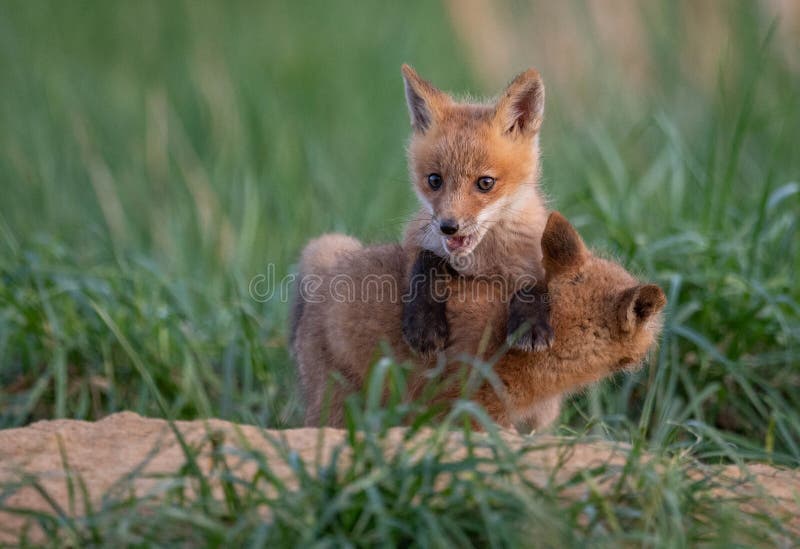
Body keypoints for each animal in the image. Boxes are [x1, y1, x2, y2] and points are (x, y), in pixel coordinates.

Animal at [399, 64, 554, 358]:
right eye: (434, 180)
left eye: (485, 183)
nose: (448, 227)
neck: (480, 261)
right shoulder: (418, 238)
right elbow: (425, 261)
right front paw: (423, 323)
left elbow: (536, 278)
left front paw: (530, 324)